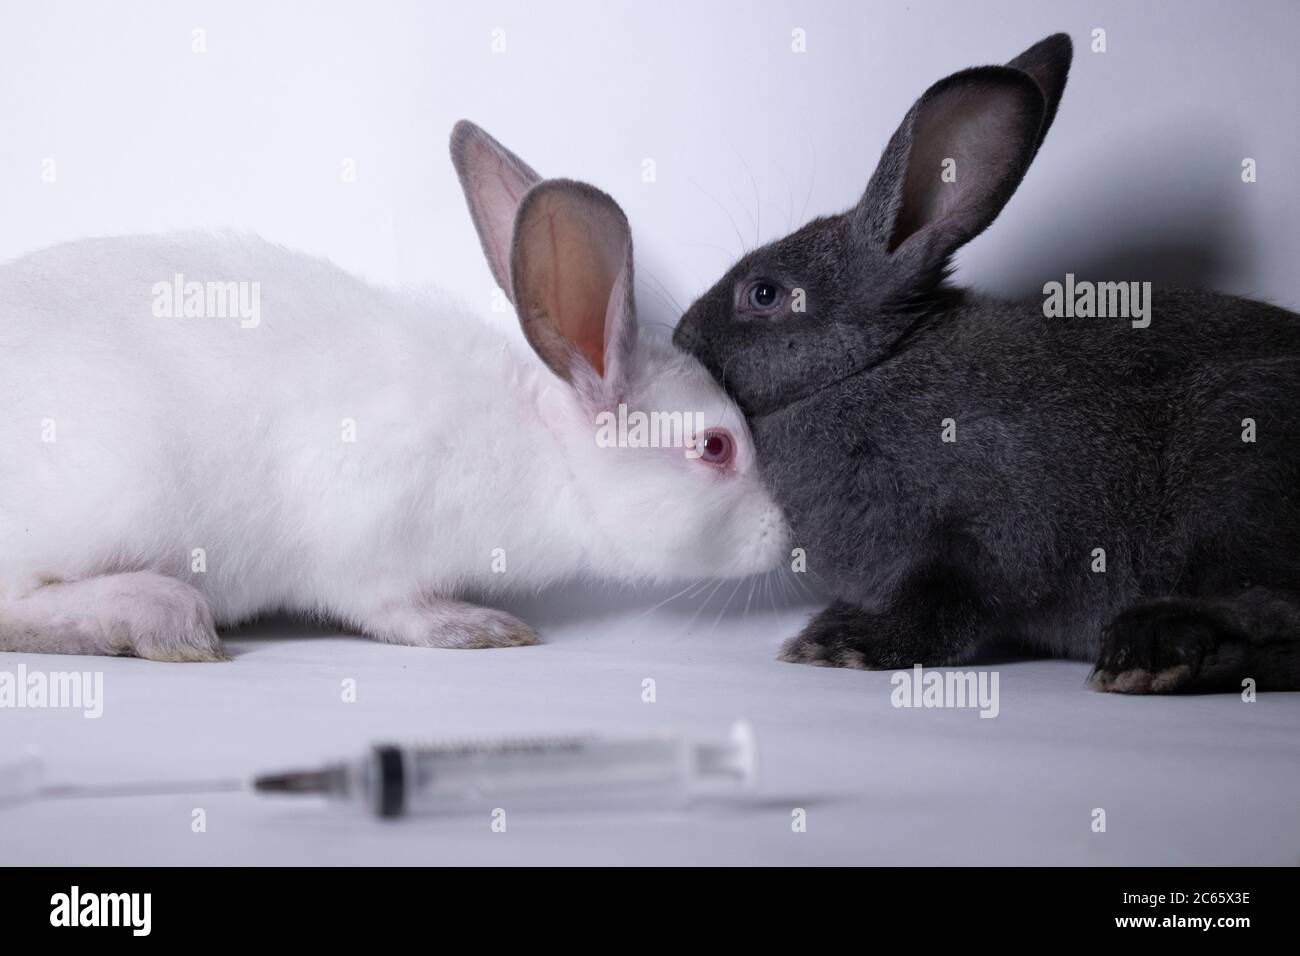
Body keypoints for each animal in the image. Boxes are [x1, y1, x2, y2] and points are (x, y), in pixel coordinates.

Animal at [0, 121, 788, 661]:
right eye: (715, 447)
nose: (784, 538)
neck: (547, 453)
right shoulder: (364, 534)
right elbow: (388, 607)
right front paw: (475, 627)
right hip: (111, 492)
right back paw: (164, 617)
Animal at [673, 33, 1300, 694]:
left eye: (764, 294)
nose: (684, 335)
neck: (870, 367)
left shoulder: (992, 534)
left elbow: (950, 606)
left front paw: (840, 644)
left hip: (1236, 461)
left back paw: (1147, 654)